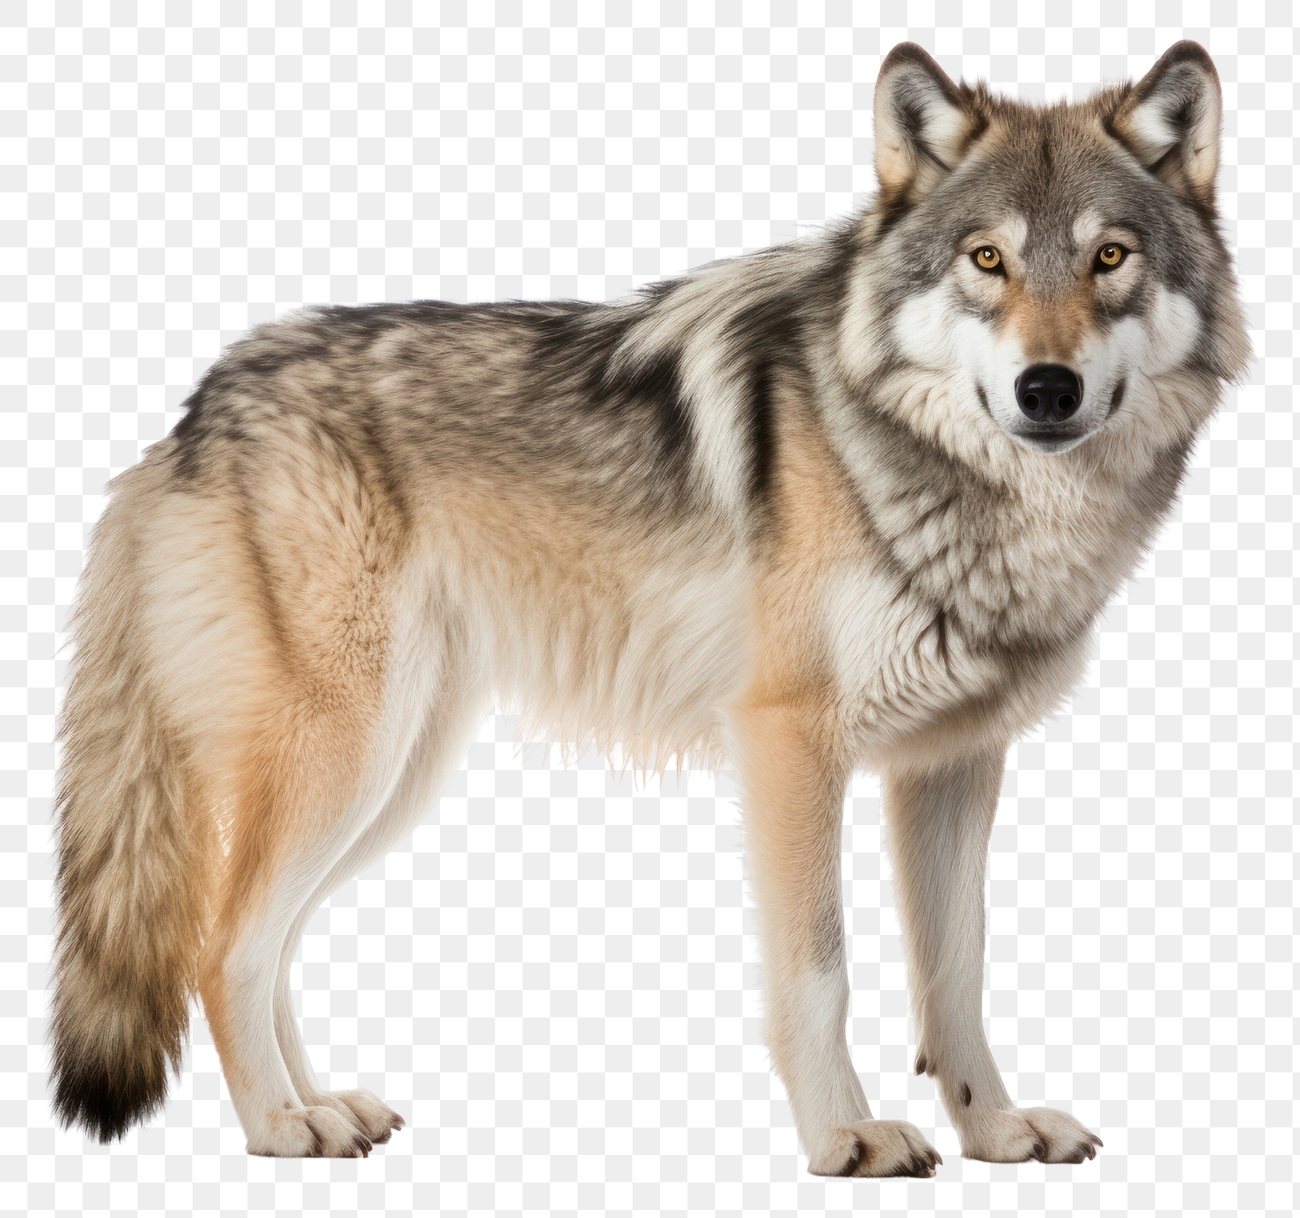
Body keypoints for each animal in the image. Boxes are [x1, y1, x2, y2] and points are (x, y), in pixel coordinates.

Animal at [50, 41, 1247, 1173]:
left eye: (1109, 257)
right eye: (986, 260)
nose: (1047, 389)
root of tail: (188, 418)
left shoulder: (951, 764)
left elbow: (957, 975)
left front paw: (992, 1130)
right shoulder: (788, 743)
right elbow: (821, 973)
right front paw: (846, 1138)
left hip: (394, 772)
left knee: (271, 943)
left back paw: (323, 1106)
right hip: (346, 752)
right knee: (222, 947)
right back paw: (280, 1128)